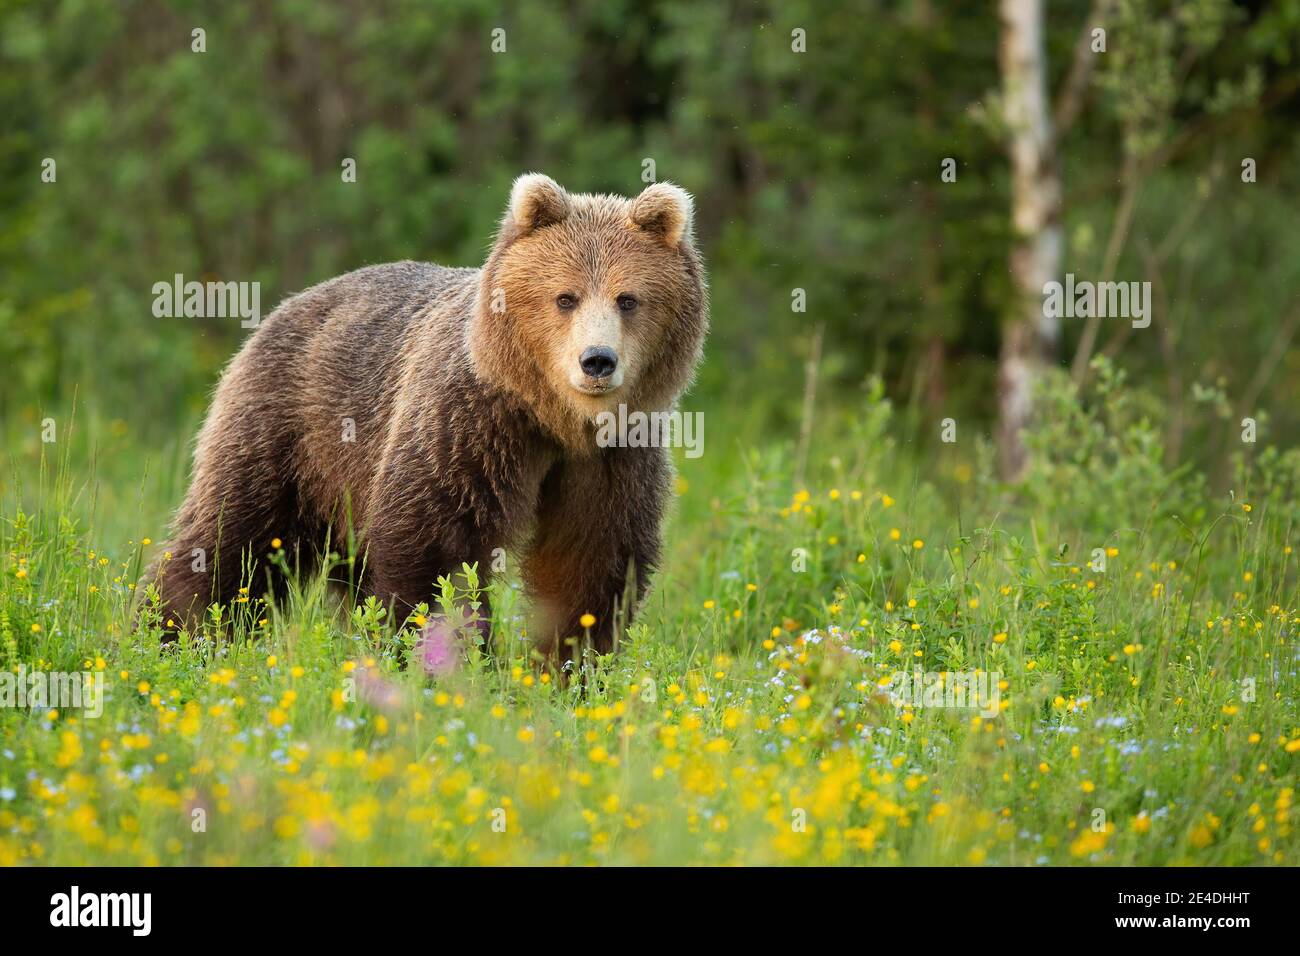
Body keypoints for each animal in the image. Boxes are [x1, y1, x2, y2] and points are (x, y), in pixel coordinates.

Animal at [150, 174, 708, 664]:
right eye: (565, 297)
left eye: (627, 298)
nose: (597, 361)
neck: (555, 420)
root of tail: (289, 304)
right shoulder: (468, 424)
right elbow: (438, 550)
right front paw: (448, 658)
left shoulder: (611, 458)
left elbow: (589, 562)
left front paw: (568, 666)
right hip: (288, 428)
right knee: (235, 537)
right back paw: (176, 634)